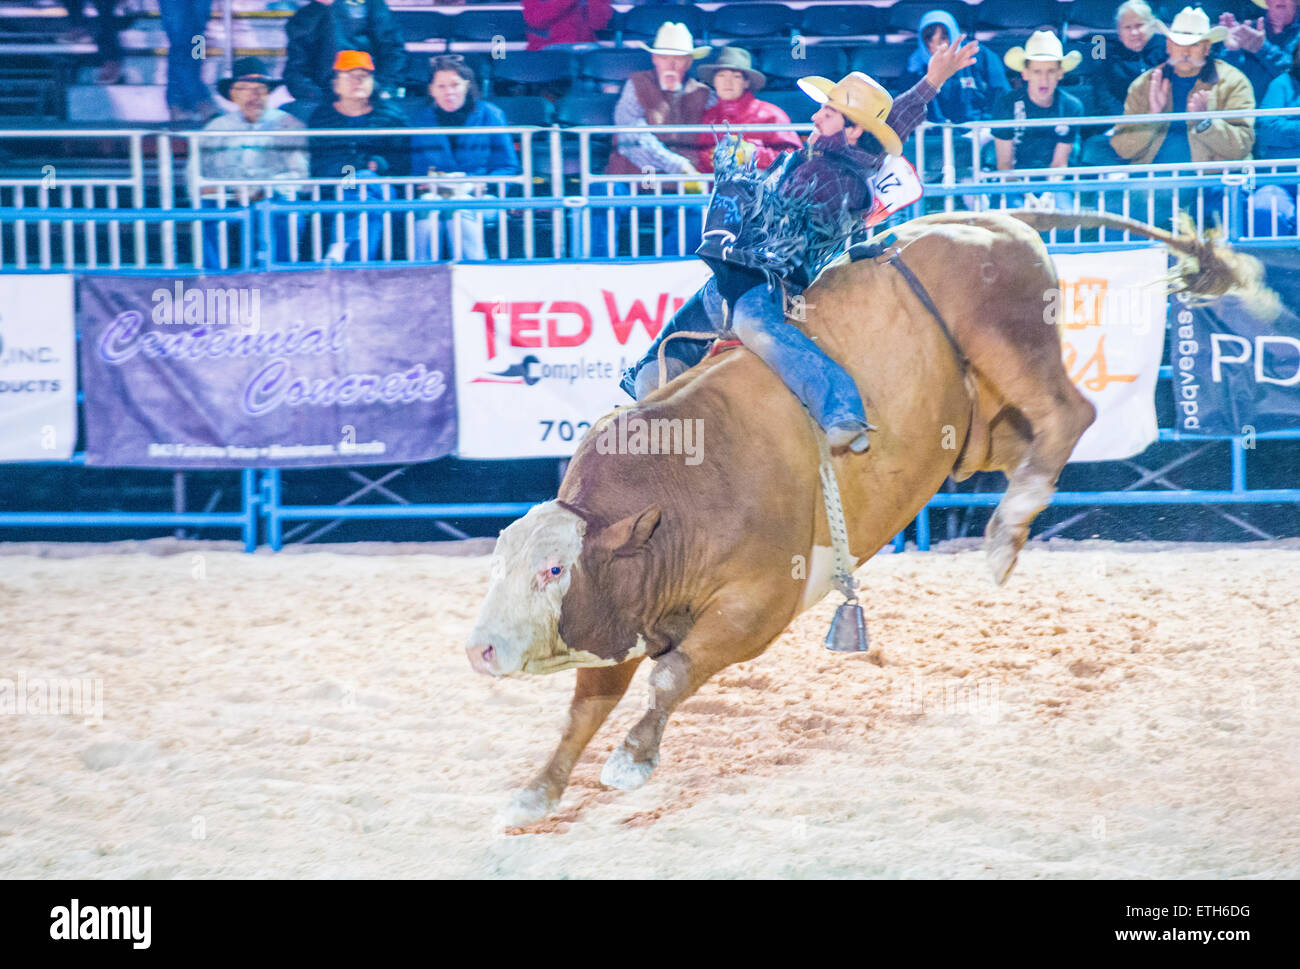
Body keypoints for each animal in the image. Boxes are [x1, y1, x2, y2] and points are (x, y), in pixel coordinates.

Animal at [467, 209, 1269, 826]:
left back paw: (1006, 530)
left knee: (1072, 414)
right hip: (977, 425)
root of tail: (991, 219)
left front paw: (633, 760)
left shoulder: (759, 605)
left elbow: (671, 677)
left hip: (1013, 345)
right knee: (1030, 440)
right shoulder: (625, 613)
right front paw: (537, 792)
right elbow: (585, 708)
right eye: (498, 566)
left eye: (554, 569)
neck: (682, 488)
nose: (479, 650)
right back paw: (1011, 523)